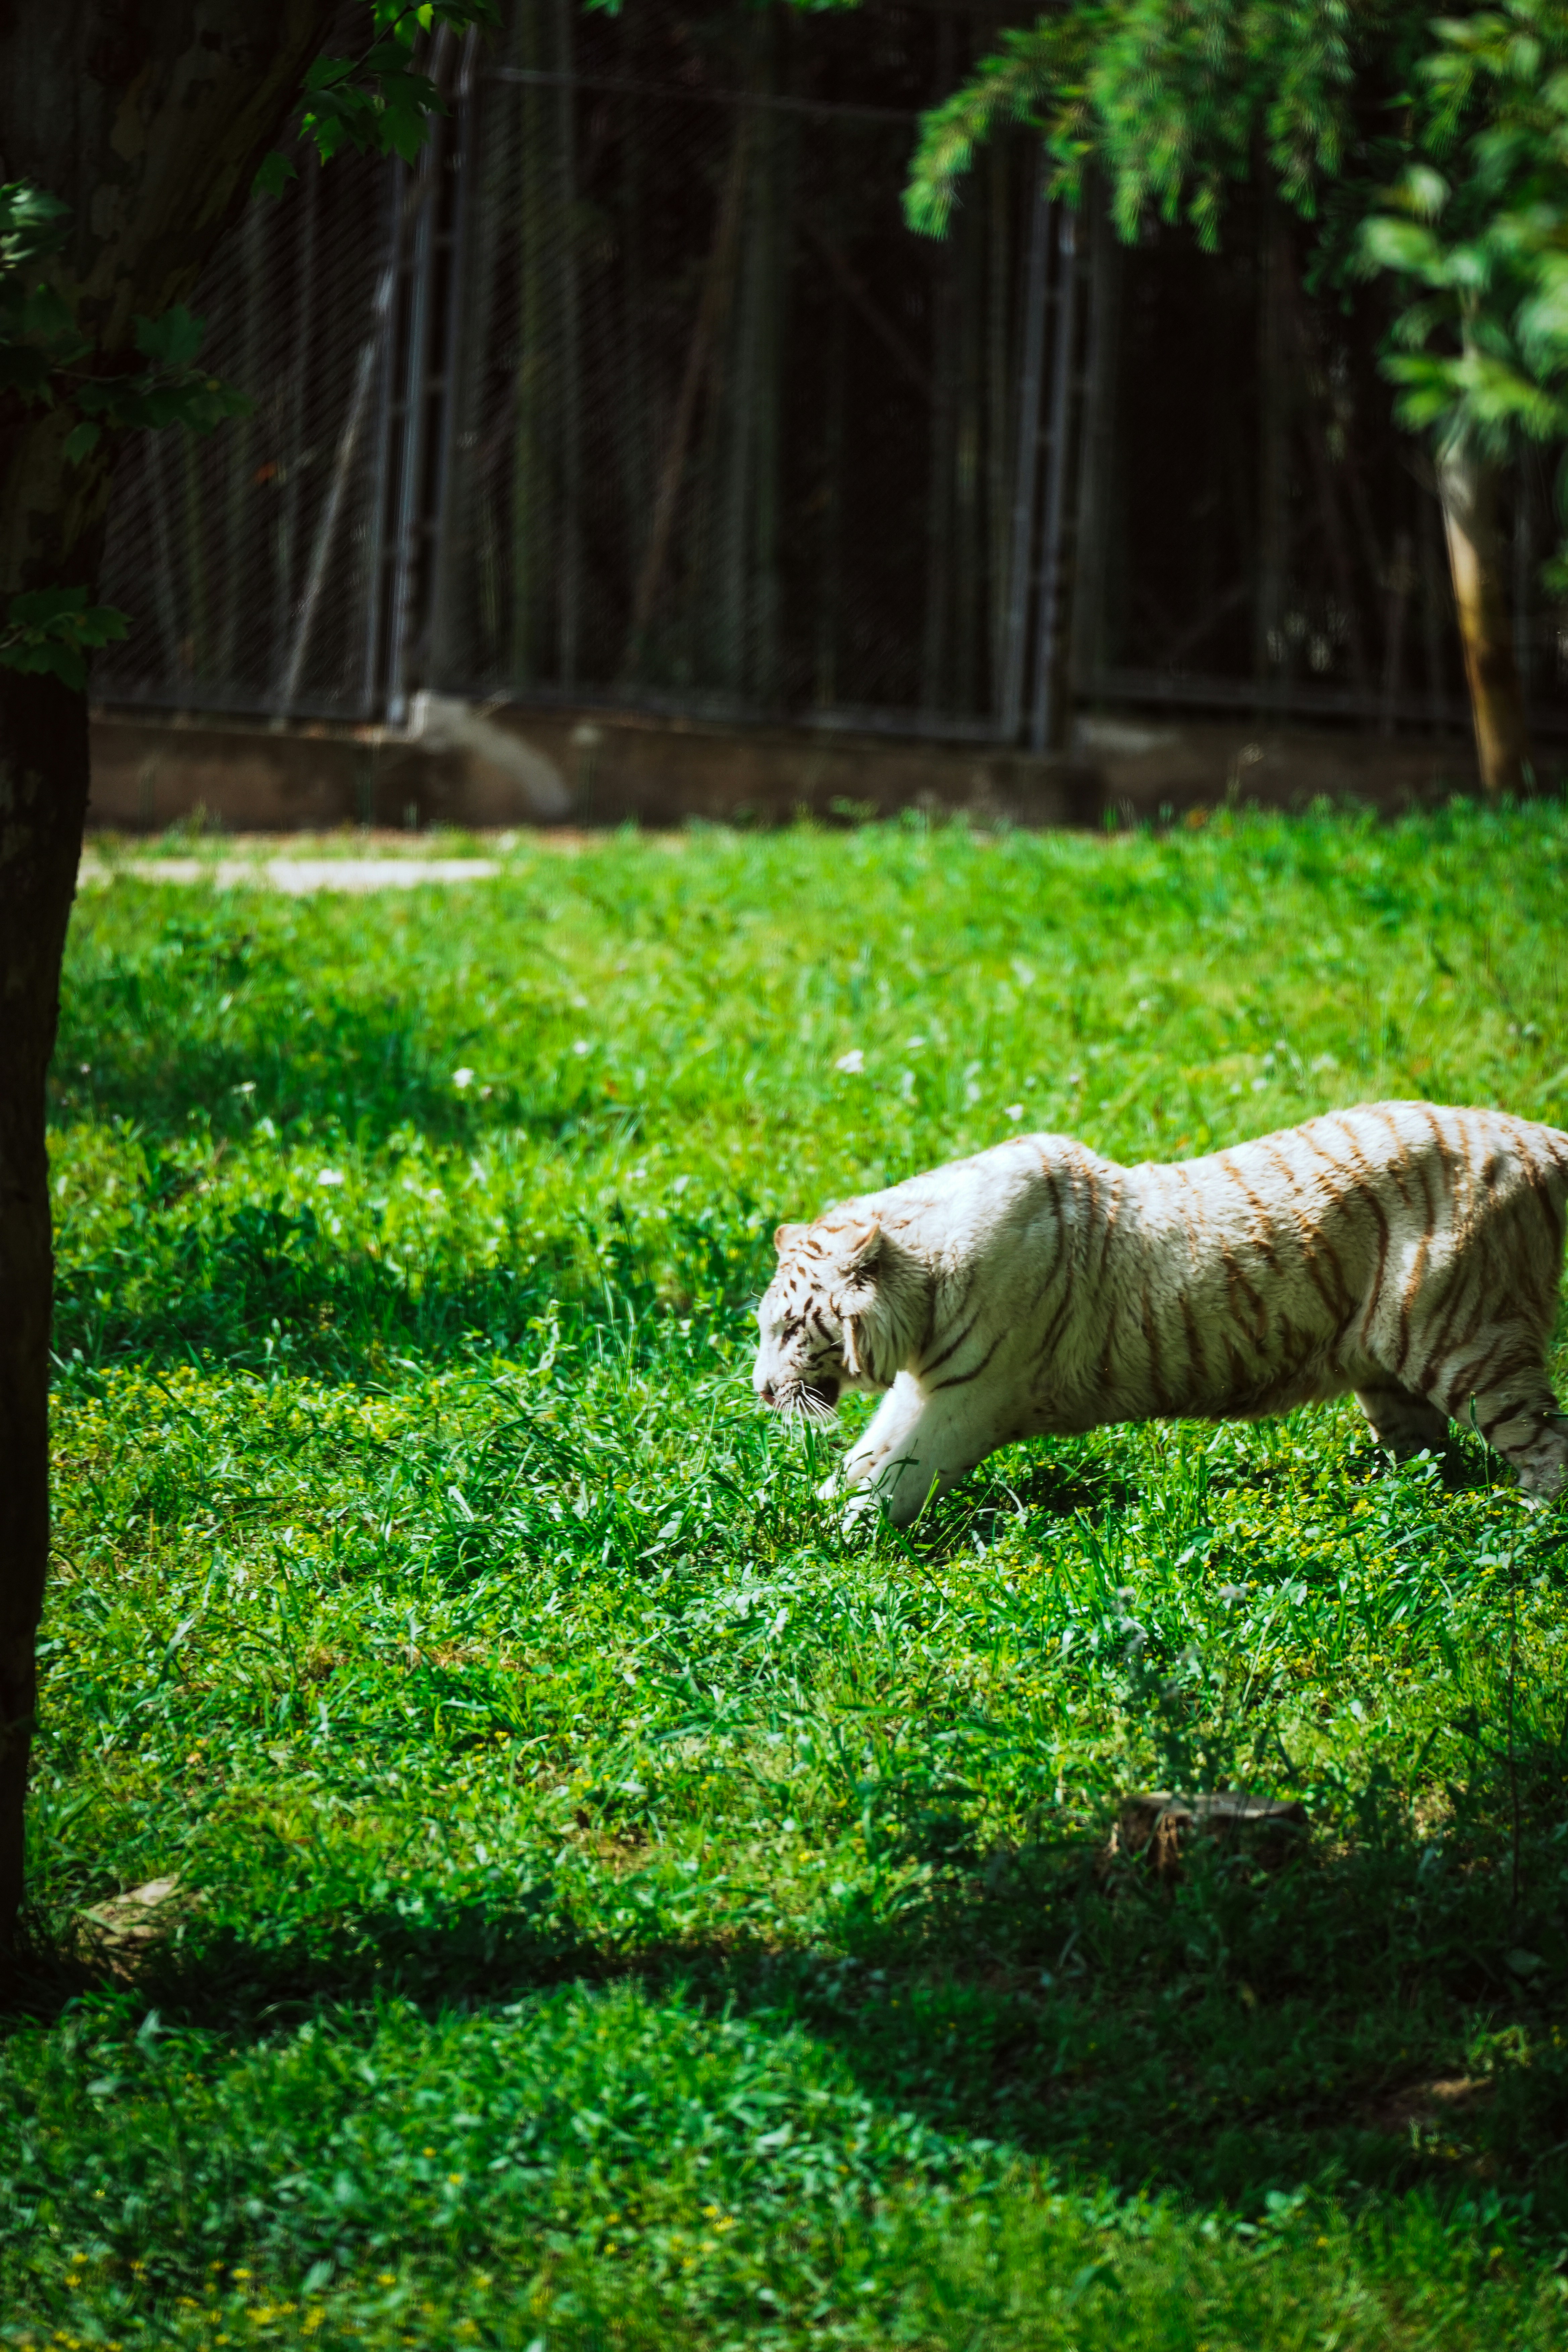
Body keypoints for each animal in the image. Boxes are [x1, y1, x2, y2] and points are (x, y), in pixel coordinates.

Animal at [752, 1103, 1568, 1526]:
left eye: (790, 1329)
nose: (760, 1390)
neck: (920, 1291)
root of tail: (1530, 1133)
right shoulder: (924, 1390)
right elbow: (862, 1462)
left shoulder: (960, 1403)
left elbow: (886, 1475)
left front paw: (818, 1540)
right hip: (1393, 1373)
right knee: (1428, 1454)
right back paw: (1404, 1509)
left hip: (1468, 1343)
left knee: (1545, 1446)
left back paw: (1523, 1526)